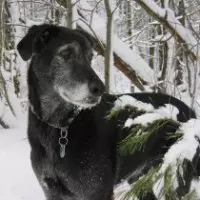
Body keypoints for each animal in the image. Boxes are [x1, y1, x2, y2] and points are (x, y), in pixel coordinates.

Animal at [17, 24, 195, 199]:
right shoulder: (51, 192)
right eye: (66, 52)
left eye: (90, 57)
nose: (100, 89)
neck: (60, 126)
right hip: (140, 179)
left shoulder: (98, 191)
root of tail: (189, 111)